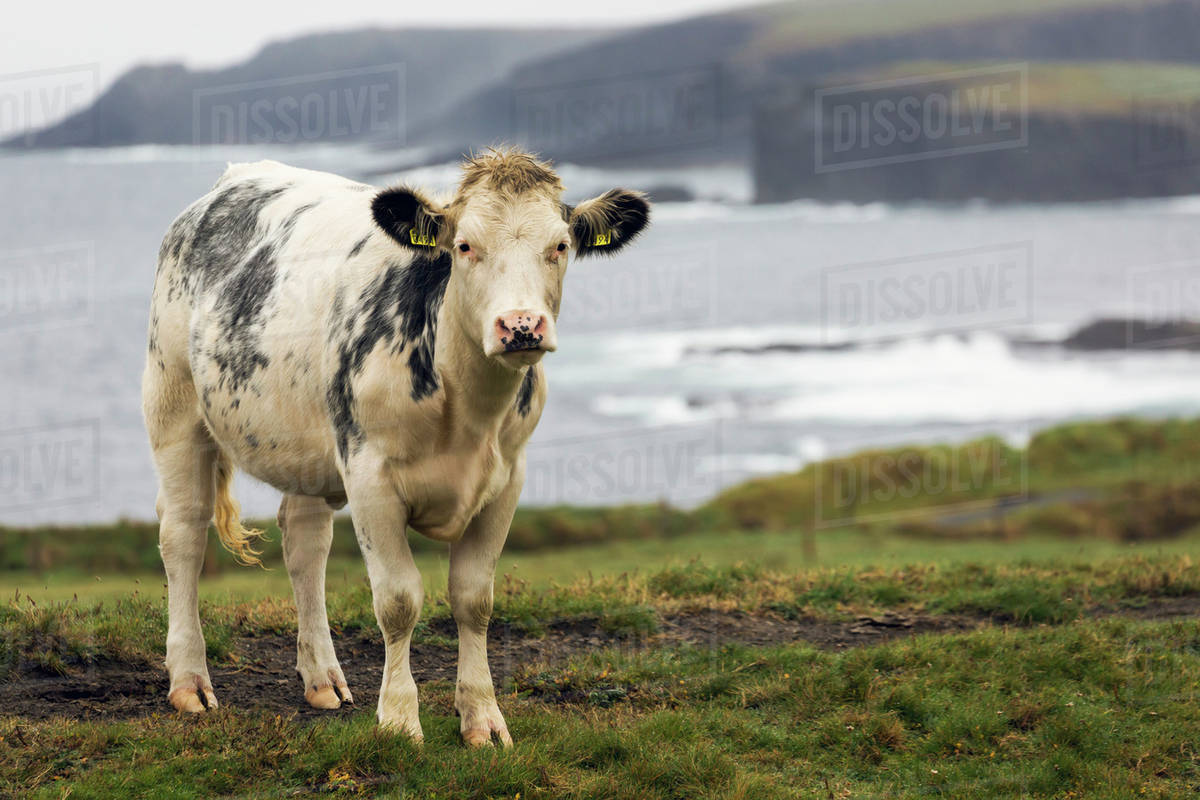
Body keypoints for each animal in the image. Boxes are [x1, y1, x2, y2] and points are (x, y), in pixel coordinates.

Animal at [142, 148, 650, 745]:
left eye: (561, 246)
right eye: (464, 246)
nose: (521, 325)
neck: (469, 414)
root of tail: (237, 175)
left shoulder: (507, 480)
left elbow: (474, 599)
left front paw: (483, 718)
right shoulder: (371, 476)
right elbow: (399, 600)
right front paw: (400, 721)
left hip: (311, 444)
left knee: (304, 541)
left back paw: (322, 678)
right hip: (173, 402)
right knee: (183, 534)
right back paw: (190, 682)